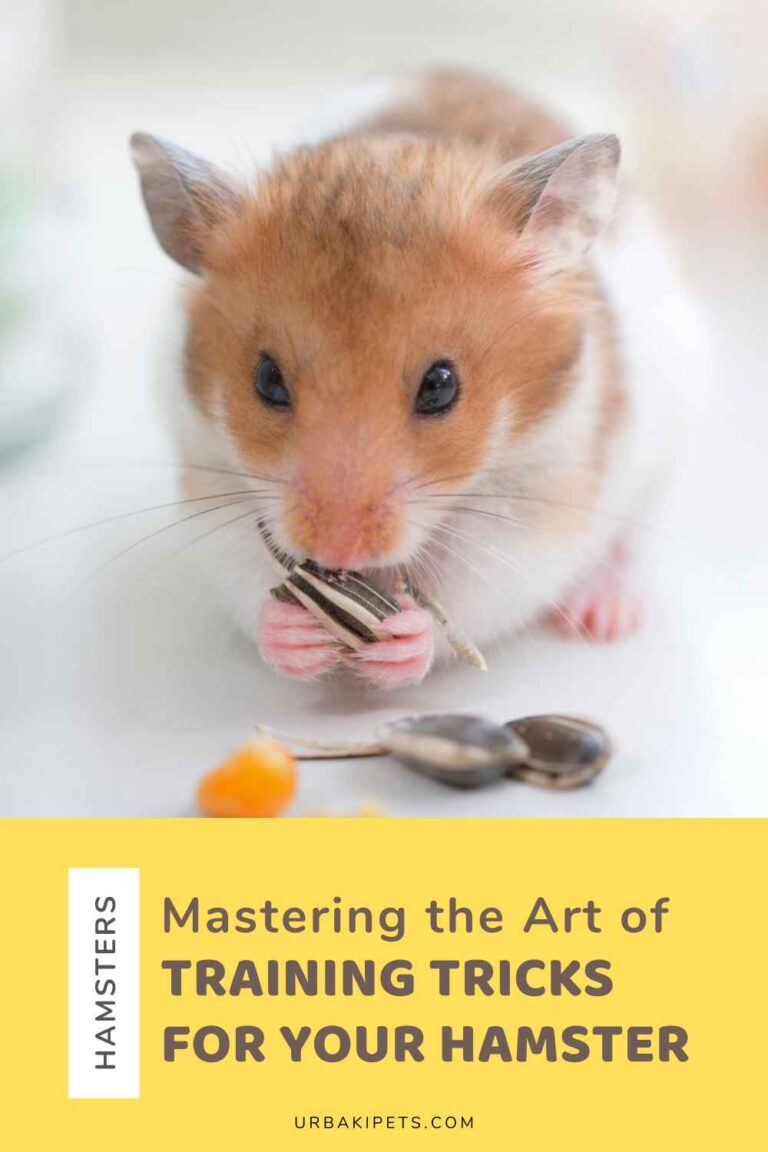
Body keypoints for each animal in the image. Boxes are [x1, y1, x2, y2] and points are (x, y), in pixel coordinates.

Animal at [130, 67, 707, 690]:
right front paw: (296, 635)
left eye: (440, 386)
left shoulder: (541, 500)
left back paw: (605, 616)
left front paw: (400, 638)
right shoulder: (208, 473)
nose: (336, 551)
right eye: (266, 380)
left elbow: (473, 593)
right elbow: (244, 573)